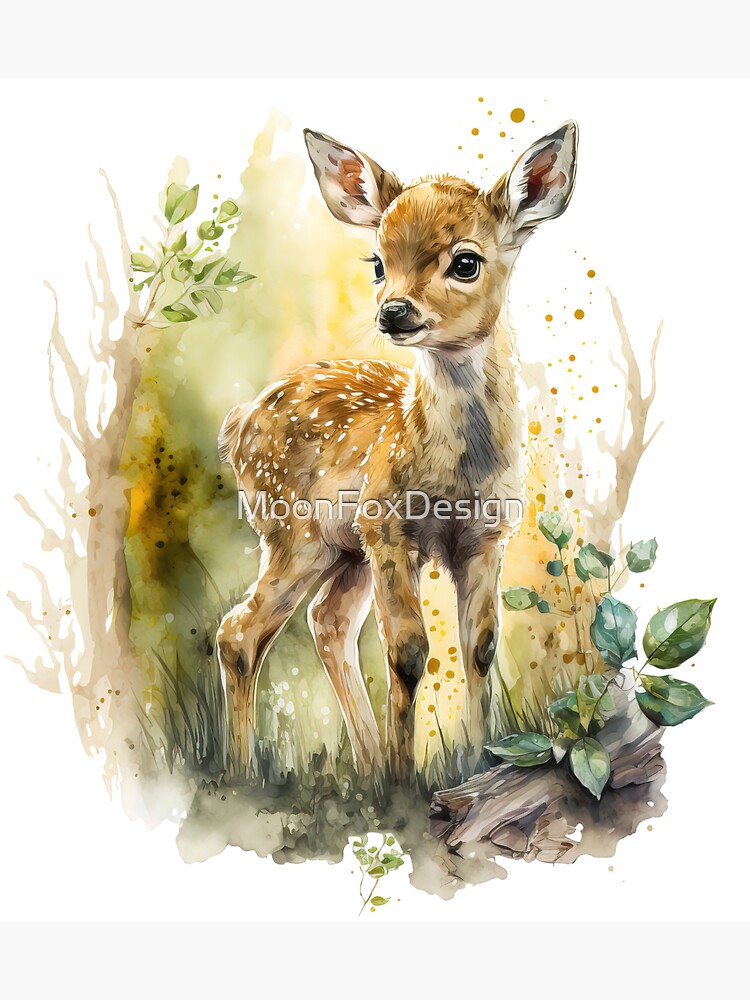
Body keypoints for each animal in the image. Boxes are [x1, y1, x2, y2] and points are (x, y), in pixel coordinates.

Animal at [217, 121, 578, 783]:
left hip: (342, 550)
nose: (394, 312)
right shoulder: (387, 523)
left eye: (466, 261)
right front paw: (410, 781)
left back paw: (367, 767)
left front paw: (476, 759)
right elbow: (410, 651)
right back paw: (245, 774)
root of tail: (237, 425)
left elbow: (480, 647)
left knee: (326, 623)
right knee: (240, 632)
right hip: (295, 531)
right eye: (379, 263)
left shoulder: (487, 535)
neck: (456, 474)